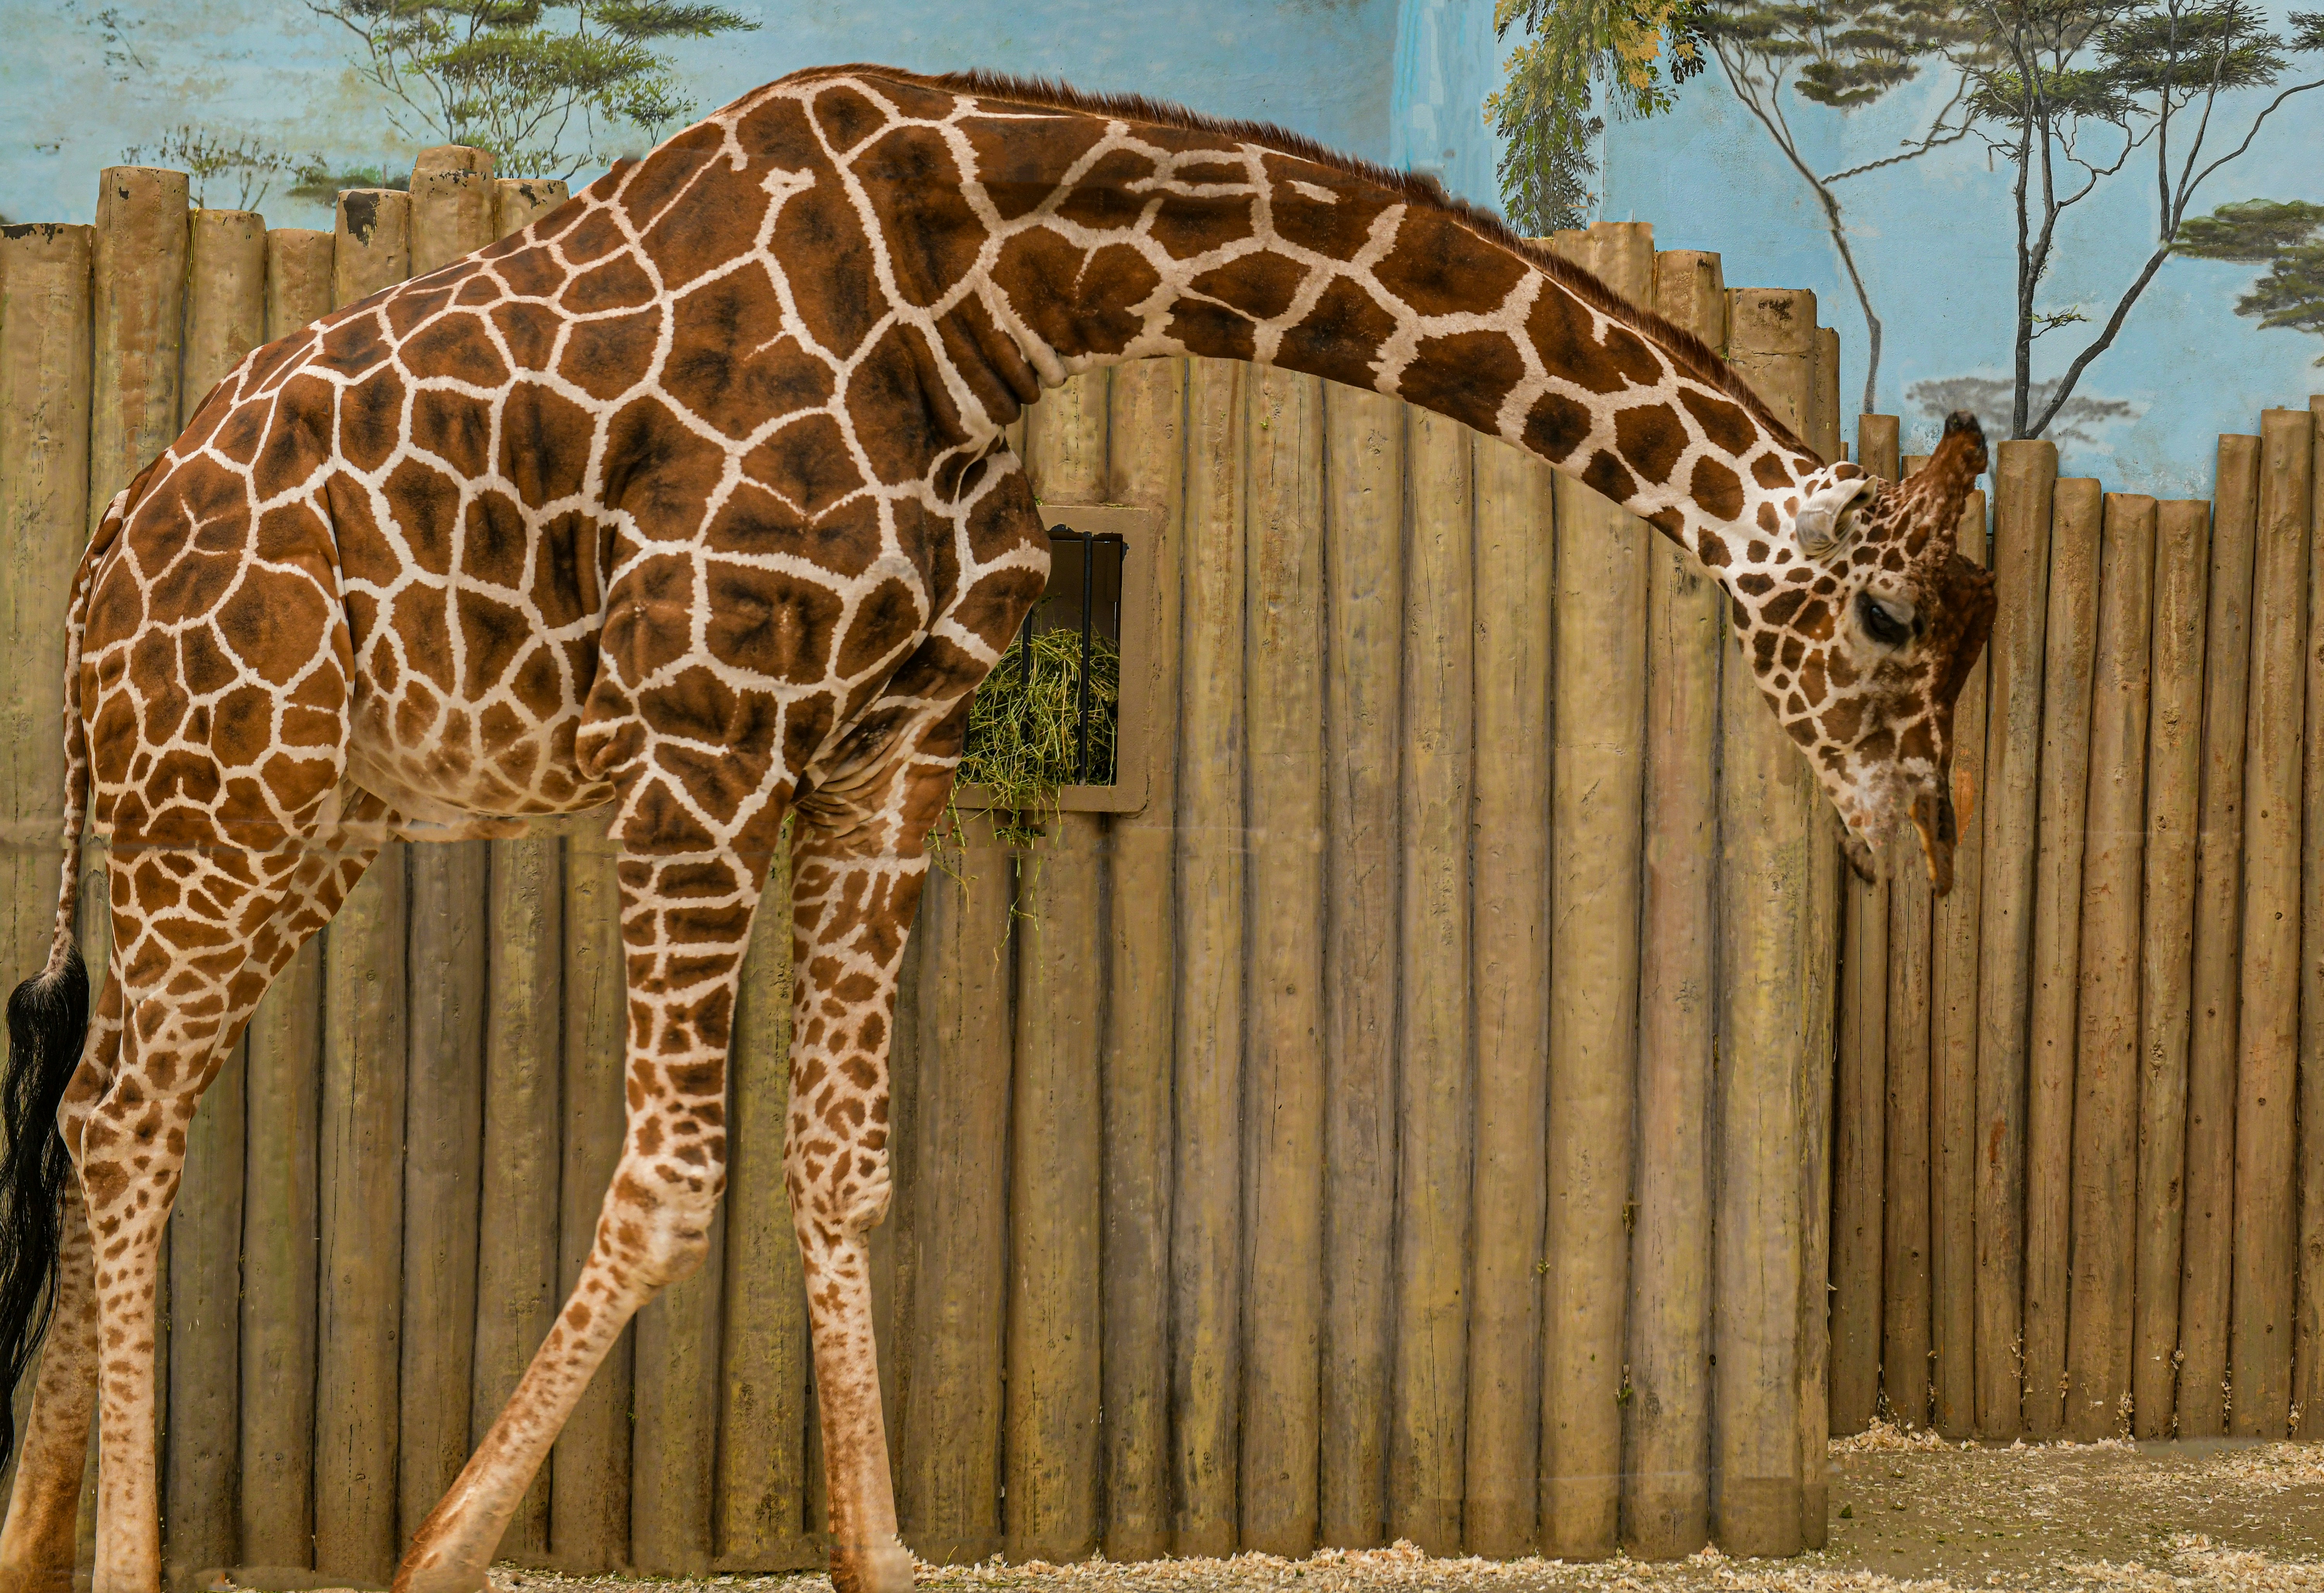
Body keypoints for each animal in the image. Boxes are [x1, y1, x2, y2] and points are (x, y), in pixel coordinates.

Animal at [0, 62, 1995, 1593]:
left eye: (1982, 636)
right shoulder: (706, 721)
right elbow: (671, 1175)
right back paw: (118, 1554)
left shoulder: (896, 736)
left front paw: (873, 1551)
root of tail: (92, 580)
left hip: (295, 816)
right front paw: (434, 1552)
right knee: (122, 1113)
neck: (1001, 289)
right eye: (1896, 622)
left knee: (107, 1099)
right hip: (229, 786)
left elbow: (838, 1161)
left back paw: (38, 1532)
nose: (1922, 854)